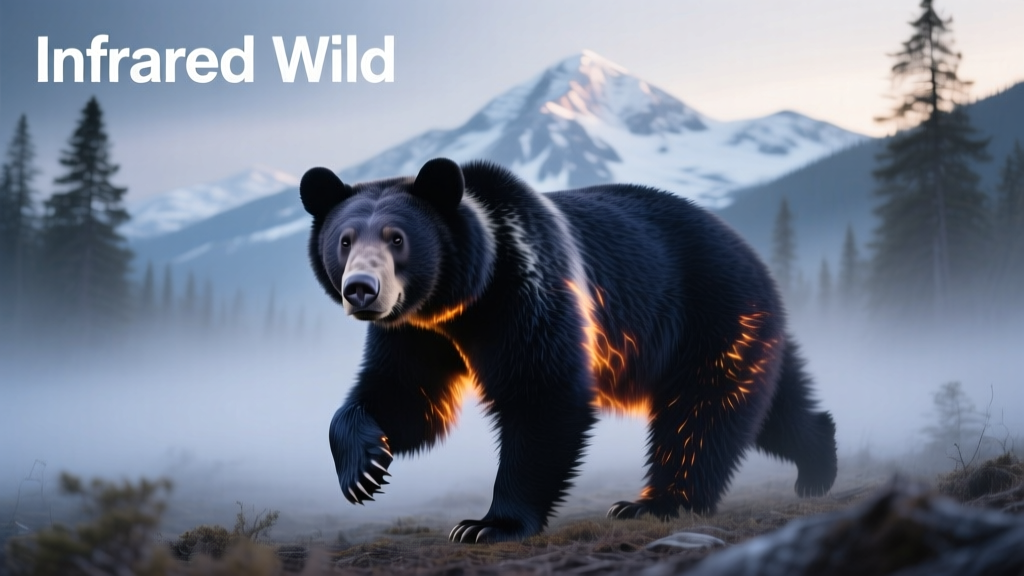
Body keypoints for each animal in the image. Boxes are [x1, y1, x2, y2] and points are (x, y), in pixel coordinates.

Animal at [299, 158, 837, 543]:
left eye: (397, 238)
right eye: (344, 240)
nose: (361, 290)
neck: (464, 298)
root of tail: (756, 259)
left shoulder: (529, 293)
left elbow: (542, 397)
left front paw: (487, 524)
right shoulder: (417, 333)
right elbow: (405, 395)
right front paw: (365, 467)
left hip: (707, 313)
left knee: (700, 414)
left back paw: (653, 502)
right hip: (739, 330)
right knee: (772, 406)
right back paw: (818, 460)